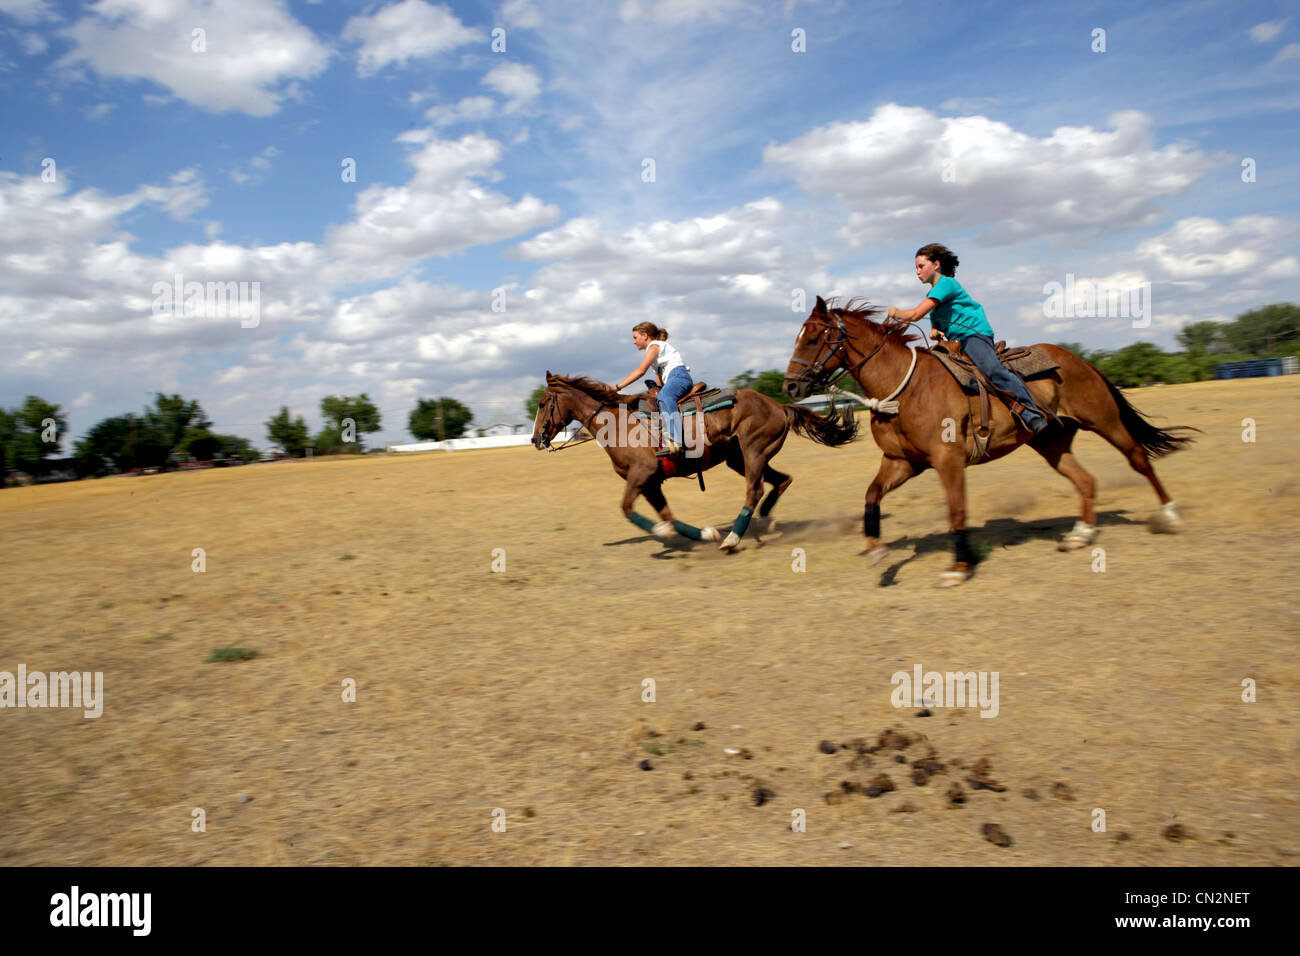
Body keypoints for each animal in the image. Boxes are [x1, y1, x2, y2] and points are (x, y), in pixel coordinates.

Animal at [531, 371, 858, 551]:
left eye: (543, 403)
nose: (536, 439)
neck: (619, 423)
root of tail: (779, 405)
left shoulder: (642, 474)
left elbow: (627, 509)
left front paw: (665, 533)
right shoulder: (650, 483)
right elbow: (669, 517)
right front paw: (703, 533)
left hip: (753, 452)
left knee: (754, 490)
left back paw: (733, 539)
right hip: (739, 458)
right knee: (782, 480)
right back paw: (765, 520)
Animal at [782, 296, 1198, 586]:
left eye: (815, 337)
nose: (790, 386)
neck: (902, 388)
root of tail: (1078, 359)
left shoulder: (947, 460)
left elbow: (957, 512)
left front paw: (958, 568)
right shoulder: (902, 462)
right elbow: (871, 495)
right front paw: (876, 550)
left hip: (1105, 421)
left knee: (1138, 459)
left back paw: (1171, 516)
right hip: (1052, 442)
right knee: (1085, 480)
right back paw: (1080, 535)